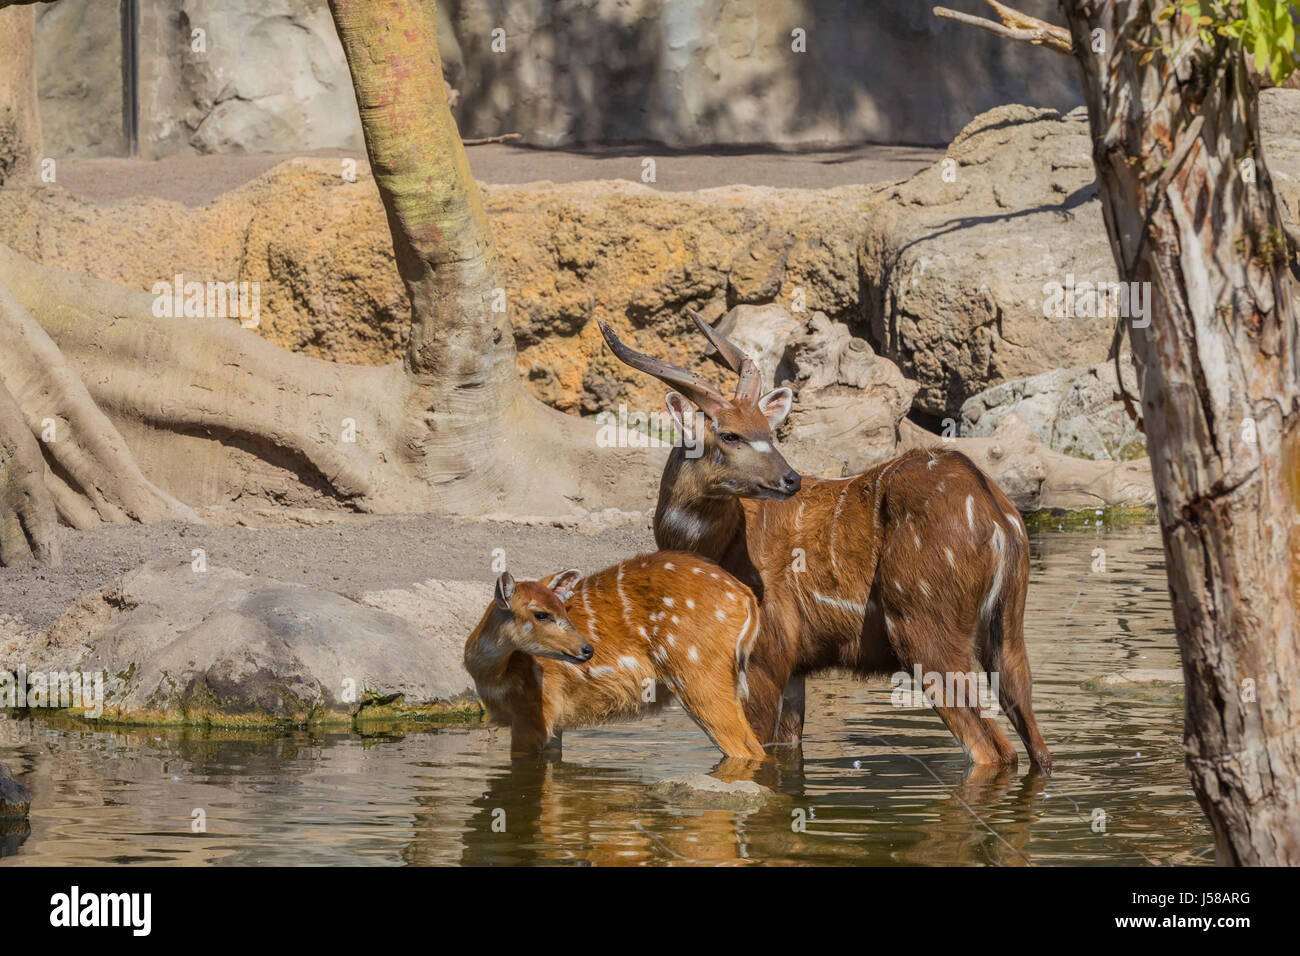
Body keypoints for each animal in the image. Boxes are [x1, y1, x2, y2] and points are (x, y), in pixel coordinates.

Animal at [463, 553, 768, 760]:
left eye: (563, 609)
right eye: (541, 613)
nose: (587, 649)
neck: (493, 675)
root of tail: (747, 600)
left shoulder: (533, 714)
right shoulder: (554, 724)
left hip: (698, 674)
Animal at [598, 313, 1052, 772]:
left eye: (768, 432)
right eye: (730, 435)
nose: (790, 479)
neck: (720, 546)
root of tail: (995, 512)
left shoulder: (763, 659)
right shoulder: (796, 670)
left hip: (927, 638)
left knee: (993, 749)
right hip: (1006, 638)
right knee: (1034, 743)